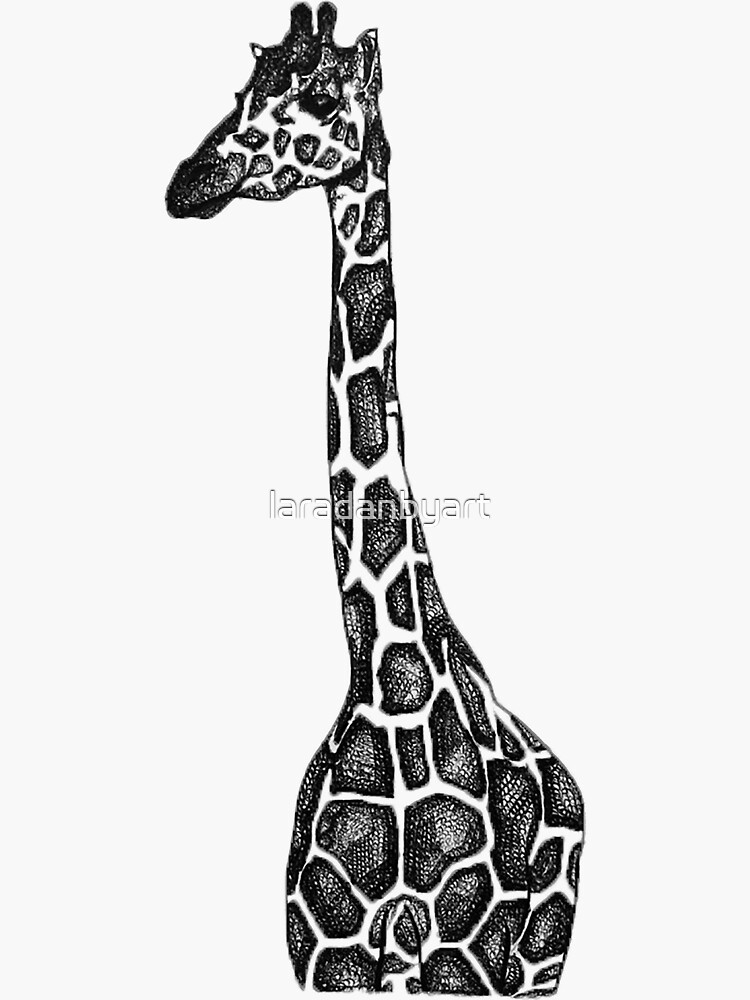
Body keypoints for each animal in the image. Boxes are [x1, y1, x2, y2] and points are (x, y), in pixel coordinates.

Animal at [166, 5, 584, 995]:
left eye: (322, 98)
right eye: (245, 88)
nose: (188, 183)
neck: (385, 686)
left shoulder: (464, 957)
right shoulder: (330, 955)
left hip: (543, 957)